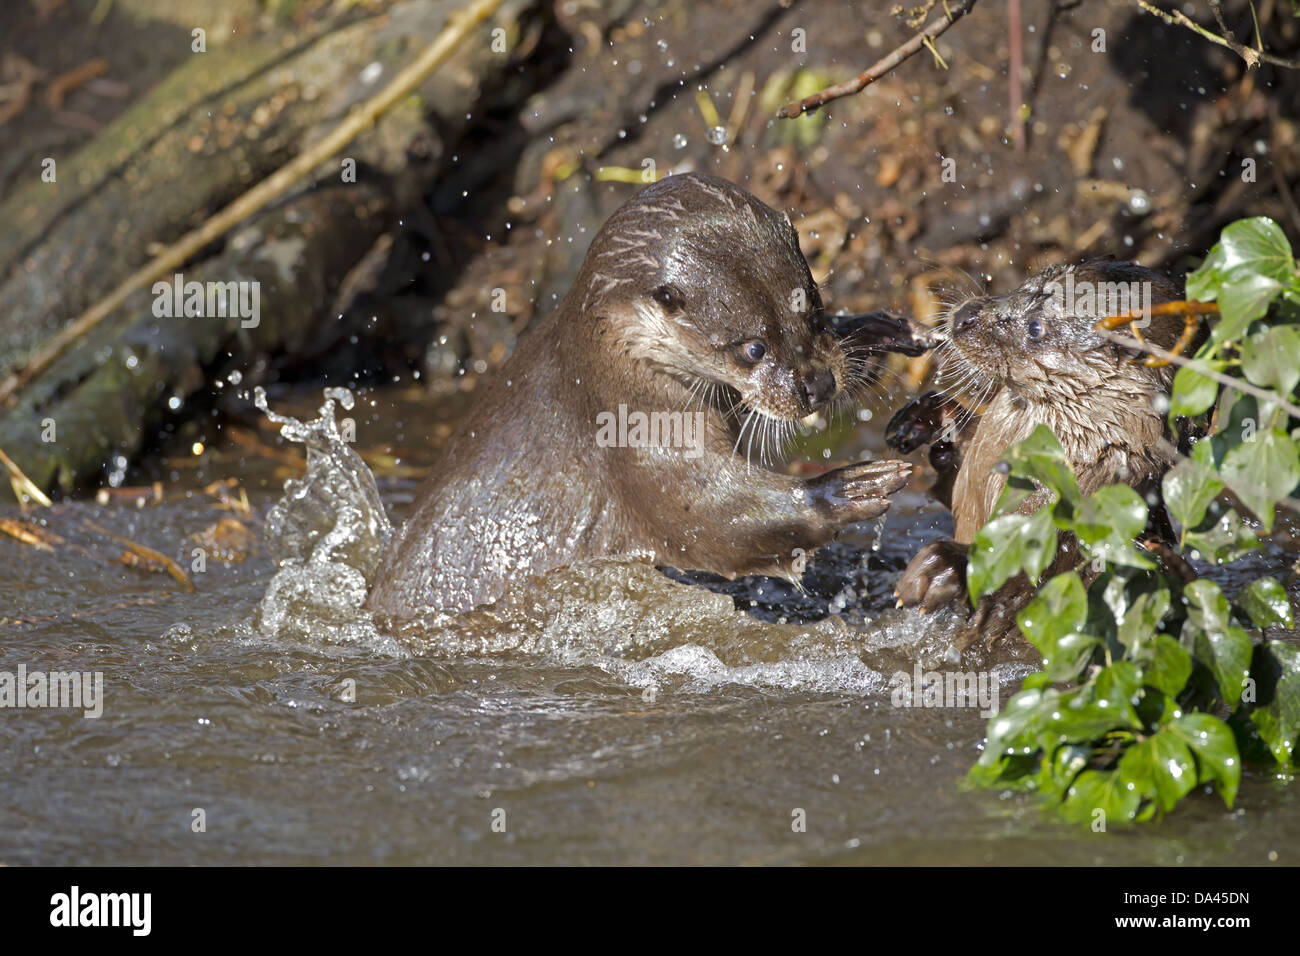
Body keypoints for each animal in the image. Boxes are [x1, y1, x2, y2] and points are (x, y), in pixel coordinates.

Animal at [368, 173, 927, 618]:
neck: (608, 367)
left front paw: (883, 330)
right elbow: (709, 523)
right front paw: (845, 488)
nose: (817, 384)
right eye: (753, 347)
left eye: (813, 310)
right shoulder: (633, 437)